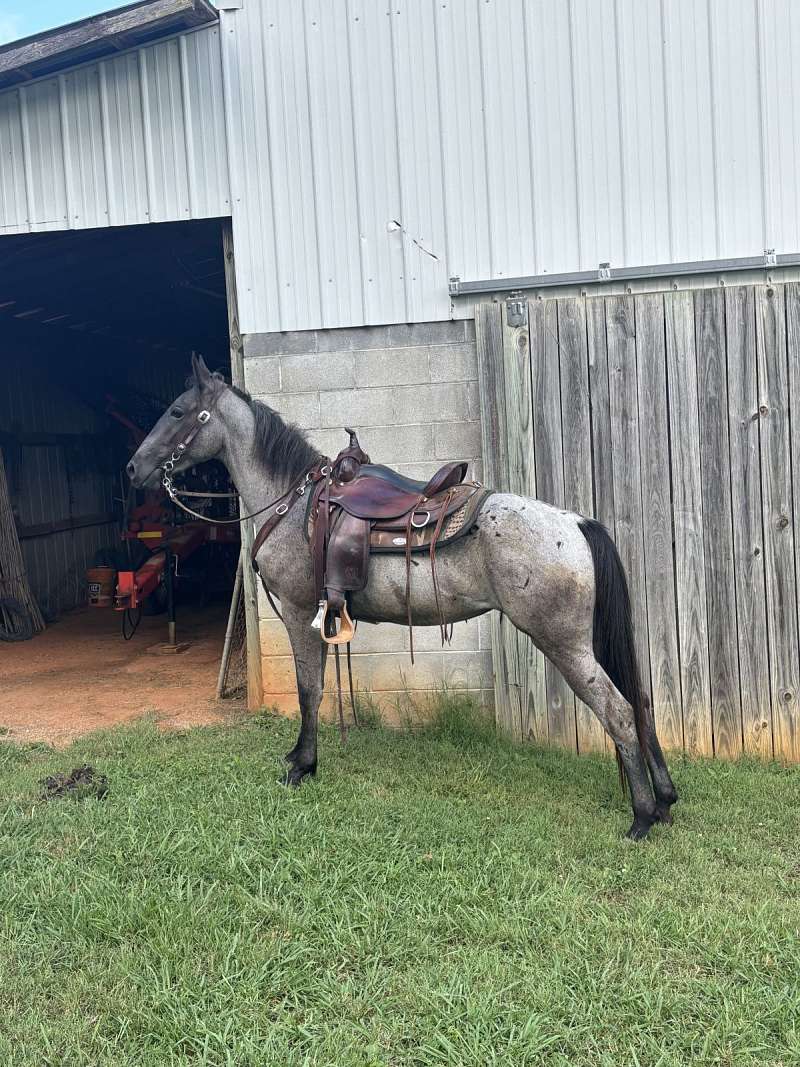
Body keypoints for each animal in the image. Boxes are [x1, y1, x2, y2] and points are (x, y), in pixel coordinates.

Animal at [127, 355, 678, 839]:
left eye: (177, 411)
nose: (132, 469)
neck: (294, 503)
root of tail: (575, 523)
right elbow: (316, 688)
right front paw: (303, 760)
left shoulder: (301, 614)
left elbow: (309, 690)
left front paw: (301, 766)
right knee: (641, 701)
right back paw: (666, 800)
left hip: (565, 644)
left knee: (619, 711)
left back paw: (641, 817)